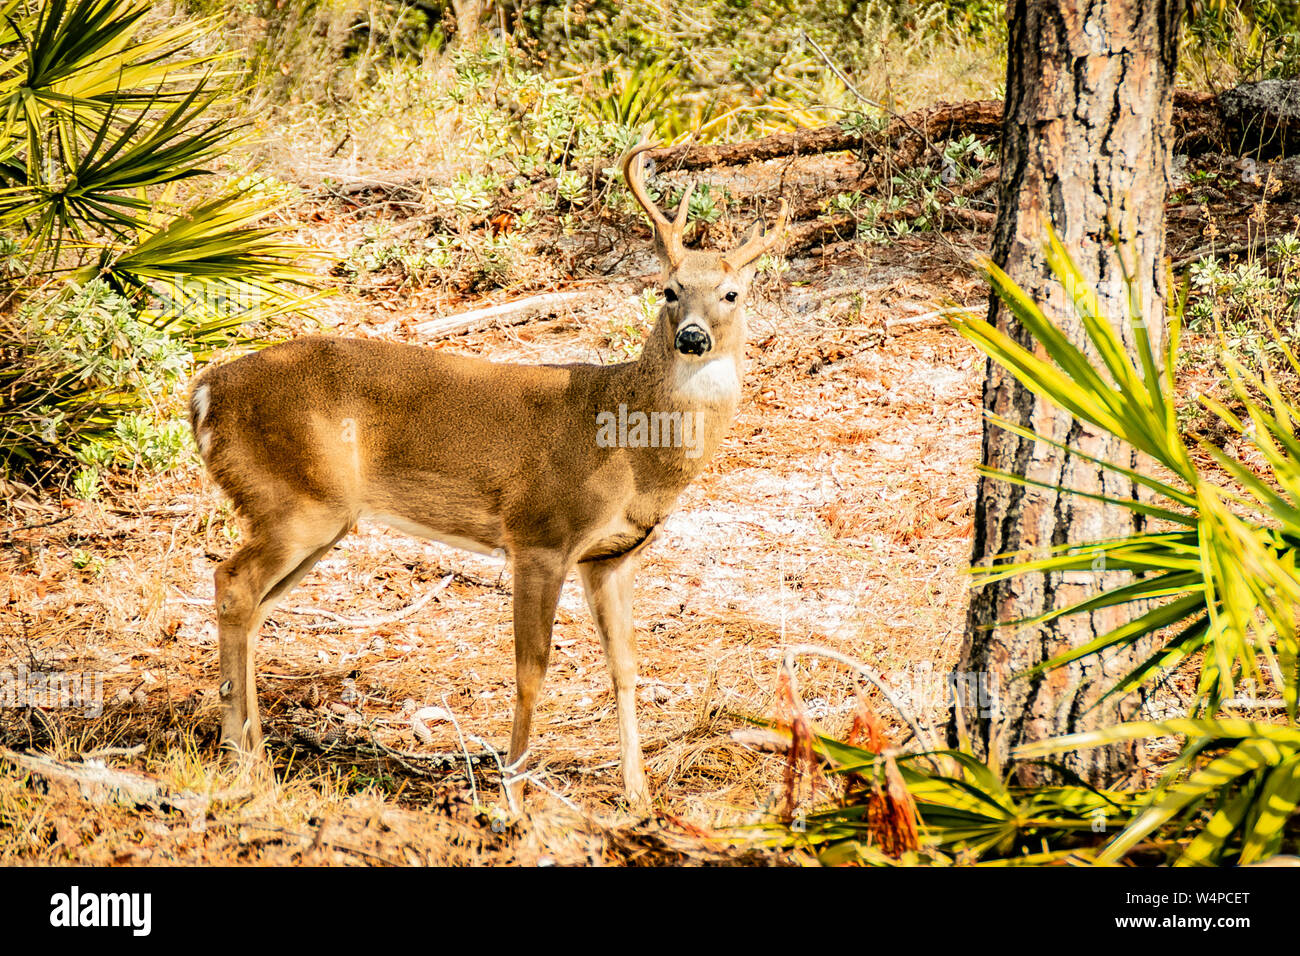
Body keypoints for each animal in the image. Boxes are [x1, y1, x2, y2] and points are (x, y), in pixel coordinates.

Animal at [188, 142, 787, 808]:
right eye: (668, 290)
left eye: (731, 295)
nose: (692, 337)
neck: (631, 447)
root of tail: (205, 393)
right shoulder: (540, 535)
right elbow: (531, 671)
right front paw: (514, 797)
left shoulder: (611, 555)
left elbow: (626, 666)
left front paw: (638, 795)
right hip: (298, 498)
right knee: (232, 583)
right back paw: (244, 762)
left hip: (312, 516)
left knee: (252, 605)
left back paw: (255, 759)